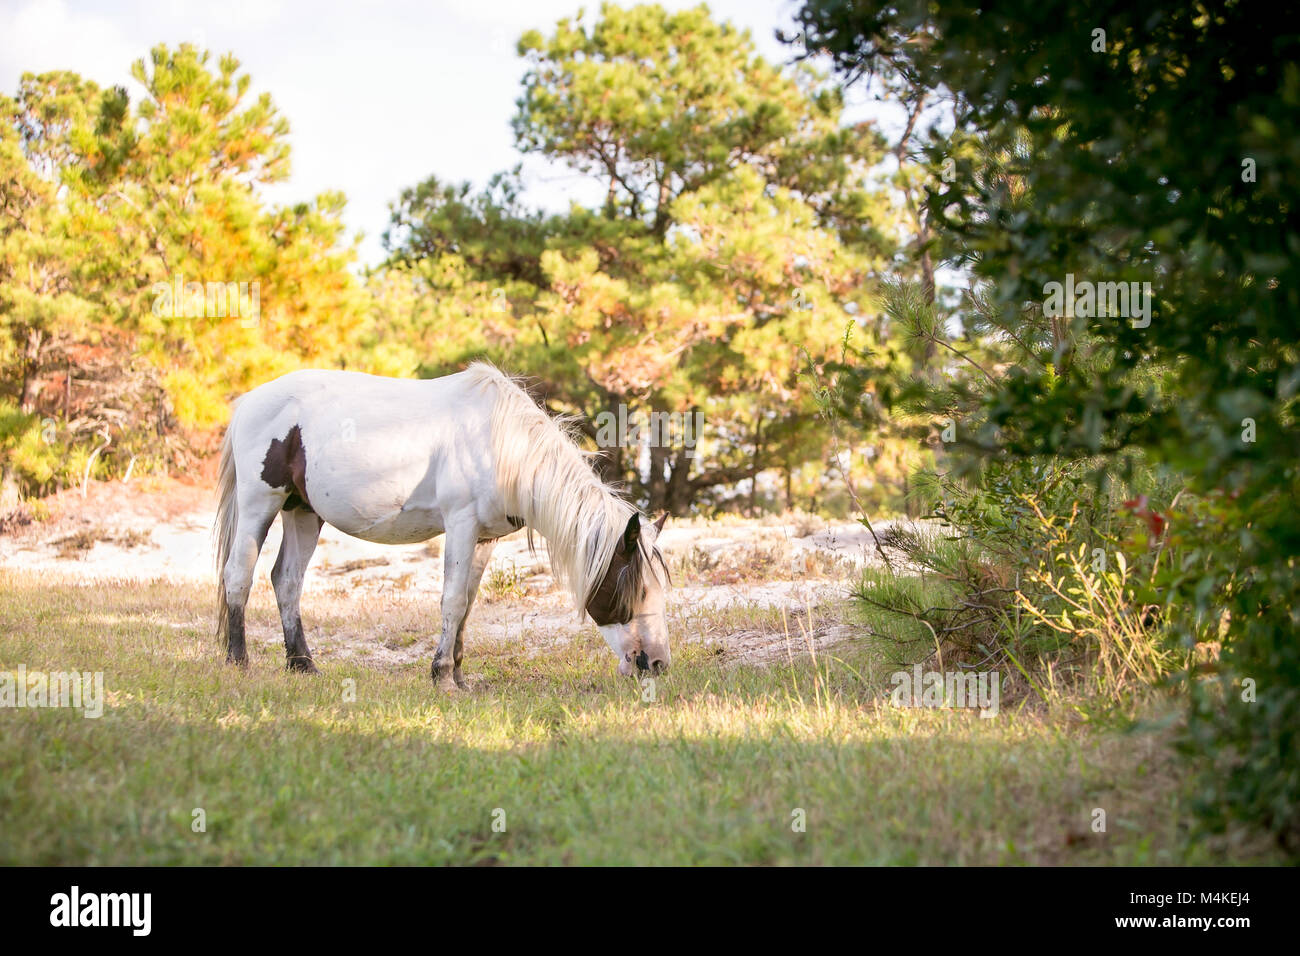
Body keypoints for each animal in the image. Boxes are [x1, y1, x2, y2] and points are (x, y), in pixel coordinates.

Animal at [212, 362, 671, 689]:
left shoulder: (485, 538)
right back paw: (239, 663)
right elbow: (451, 601)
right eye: (636, 589)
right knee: (238, 575)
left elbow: (466, 604)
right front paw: (442, 676)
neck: (502, 445)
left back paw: (303, 665)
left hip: (303, 512)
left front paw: (460, 676)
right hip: (259, 504)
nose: (657, 663)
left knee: (287, 581)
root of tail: (250, 401)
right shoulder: (461, 524)